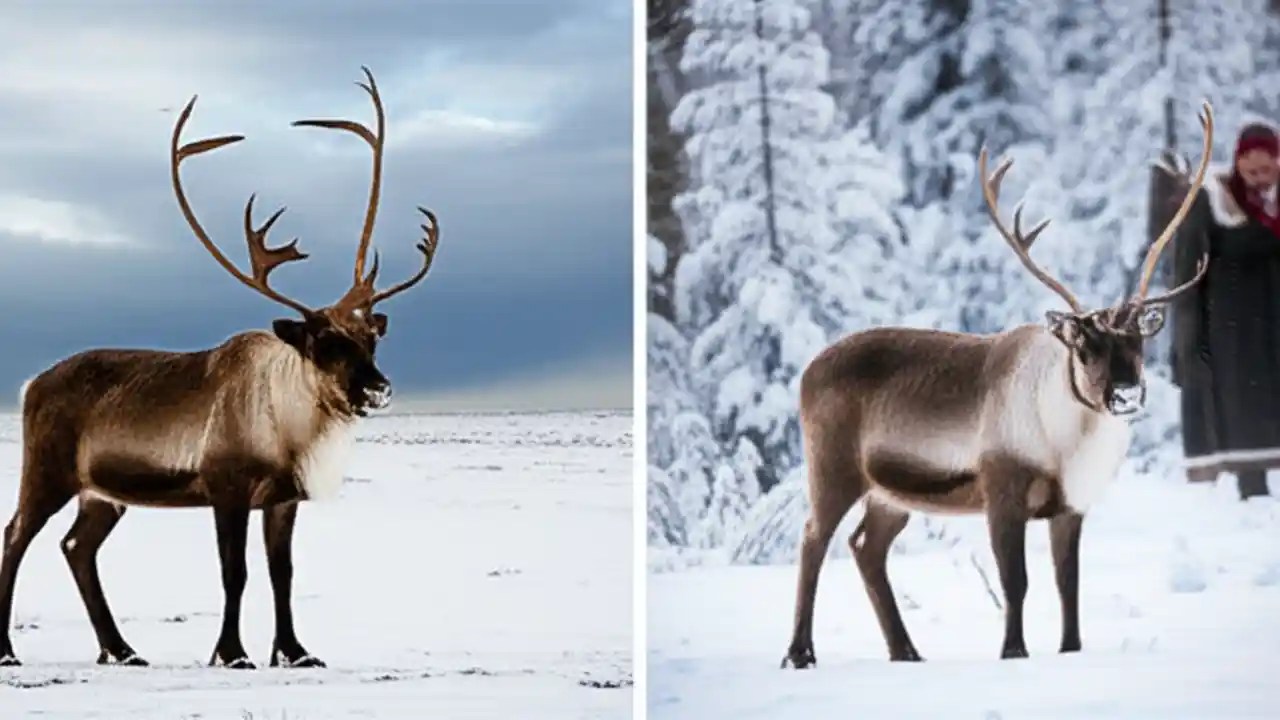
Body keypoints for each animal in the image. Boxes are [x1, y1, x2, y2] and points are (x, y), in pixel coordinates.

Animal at [0, 67, 440, 670]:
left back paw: (121, 649)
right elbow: (236, 573)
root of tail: (30, 383)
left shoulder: (282, 499)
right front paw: (231, 653)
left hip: (103, 493)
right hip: (47, 471)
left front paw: (295, 652)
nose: (379, 389)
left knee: (75, 546)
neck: (288, 425)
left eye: (371, 337)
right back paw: (9, 650)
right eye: (324, 341)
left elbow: (282, 574)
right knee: (16, 535)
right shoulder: (226, 488)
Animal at [781, 102, 1214, 669]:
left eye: (1137, 344)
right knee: (813, 539)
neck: (1063, 445)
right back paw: (800, 652)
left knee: (865, 546)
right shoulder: (1002, 490)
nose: (1126, 394)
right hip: (832, 467)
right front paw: (1014, 651)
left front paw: (1070, 649)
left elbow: (1067, 584)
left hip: (891, 493)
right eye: (1084, 345)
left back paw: (906, 651)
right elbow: (1017, 581)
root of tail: (806, 372)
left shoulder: (1070, 507)